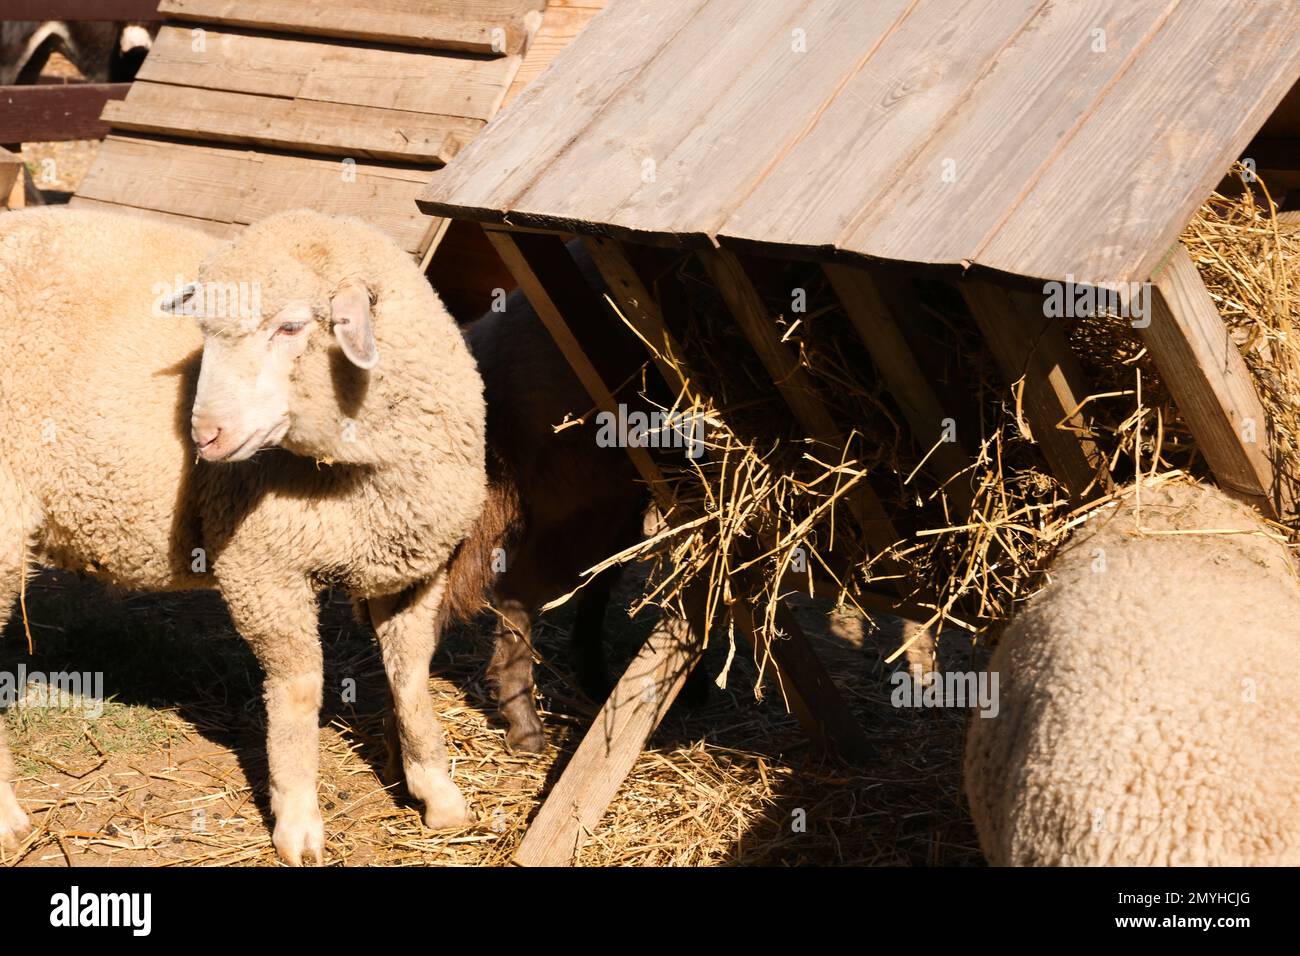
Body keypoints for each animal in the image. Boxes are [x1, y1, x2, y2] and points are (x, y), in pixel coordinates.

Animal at [0, 207, 486, 865]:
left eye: (291, 326)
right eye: (204, 333)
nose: (202, 435)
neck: (355, 470)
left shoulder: (415, 566)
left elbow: (411, 681)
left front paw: (437, 793)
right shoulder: (261, 565)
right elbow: (298, 691)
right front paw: (298, 822)